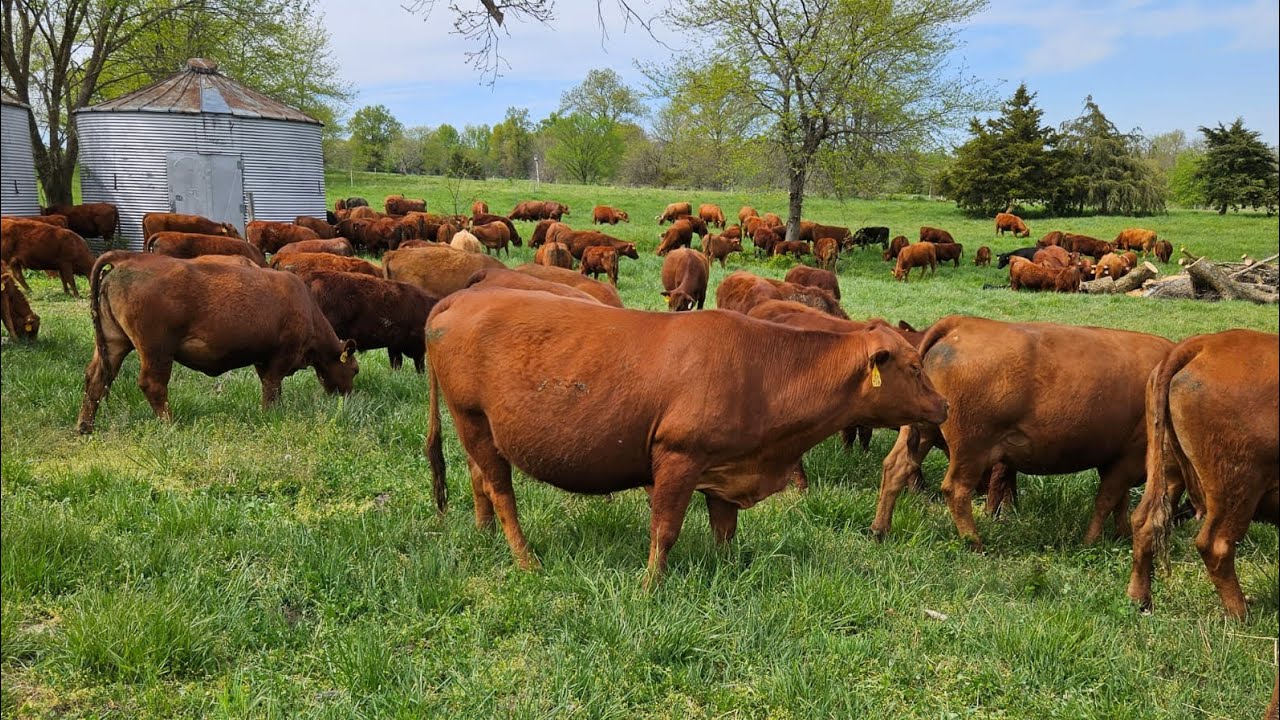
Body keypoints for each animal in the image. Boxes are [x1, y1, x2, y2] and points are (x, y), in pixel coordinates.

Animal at [75, 251, 359, 434]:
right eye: (355, 370)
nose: (348, 397)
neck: (306, 307)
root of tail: (128, 259)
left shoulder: (263, 359)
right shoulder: (281, 357)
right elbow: (272, 388)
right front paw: (271, 415)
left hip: (114, 342)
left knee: (96, 378)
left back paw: (85, 427)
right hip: (157, 350)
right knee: (152, 384)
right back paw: (170, 425)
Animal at [423, 287, 948, 583]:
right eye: (915, 366)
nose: (944, 406)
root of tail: (460, 298)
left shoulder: (728, 469)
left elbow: (726, 532)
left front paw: (729, 574)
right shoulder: (677, 458)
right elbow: (665, 531)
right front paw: (649, 588)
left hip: (477, 428)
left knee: (479, 479)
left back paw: (485, 534)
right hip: (473, 419)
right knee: (501, 489)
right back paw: (526, 560)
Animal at [871, 316, 1174, 548]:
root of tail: (960, 323)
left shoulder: (1115, 459)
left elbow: (1119, 501)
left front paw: (1120, 535)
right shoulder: (1129, 457)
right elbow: (1107, 500)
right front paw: (1091, 542)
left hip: (922, 430)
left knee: (896, 469)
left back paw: (880, 529)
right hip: (971, 447)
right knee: (956, 489)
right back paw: (975, 542)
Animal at [1127, 329, 1278, 620]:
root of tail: (1205, 342)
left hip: (1166, 469)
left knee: (1144, 522)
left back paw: (1140, 600)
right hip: (1237, 485)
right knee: (1216, 546)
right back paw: (1241, 615)